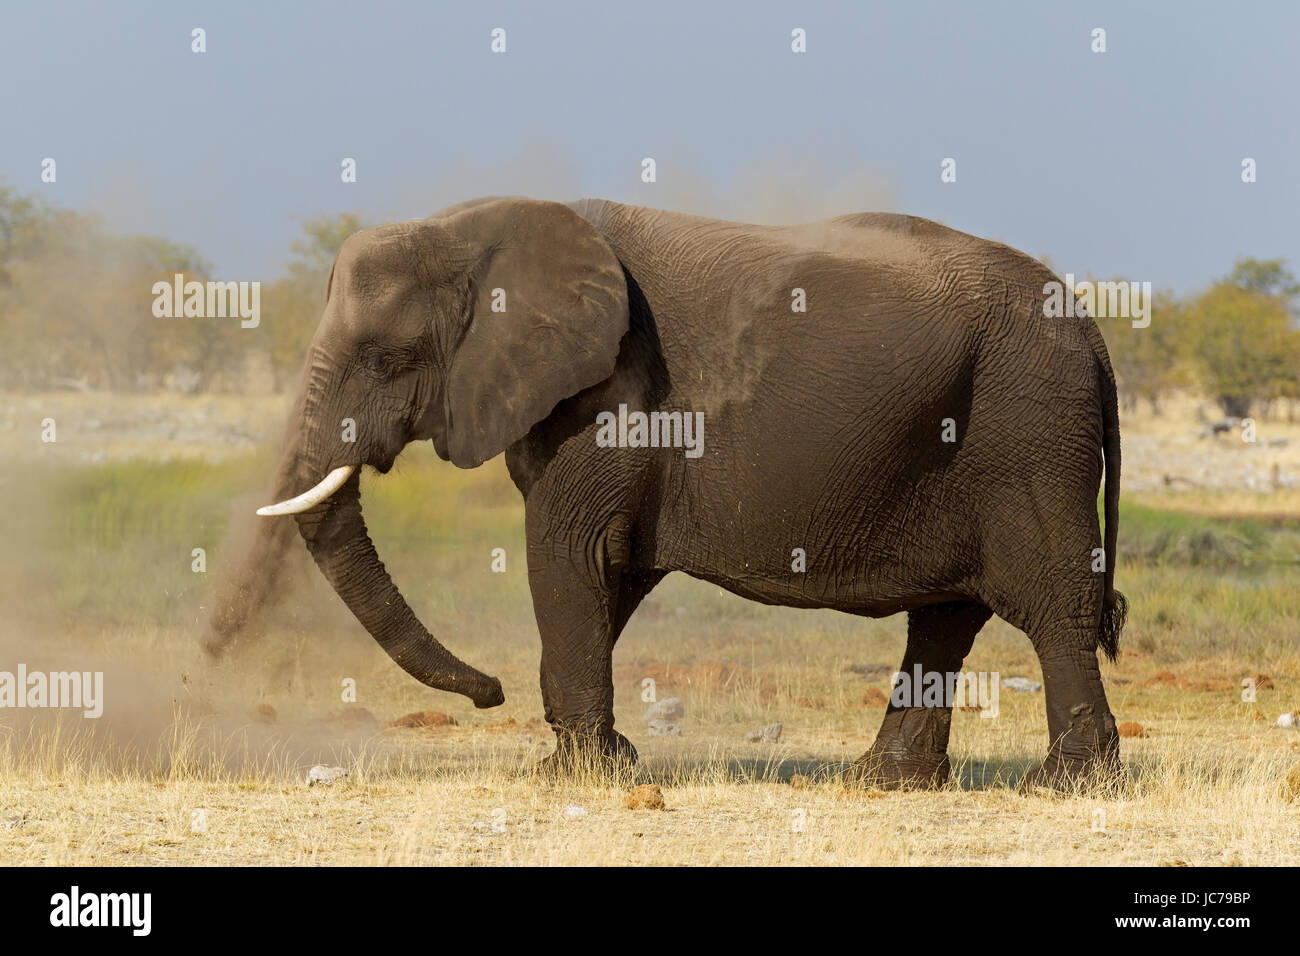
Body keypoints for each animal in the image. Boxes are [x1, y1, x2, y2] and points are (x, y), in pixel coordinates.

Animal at [206, 196, 1127, 792]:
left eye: (385, 358)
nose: (486, 692)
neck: (470, 228)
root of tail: (1092, 328)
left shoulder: (615, 394)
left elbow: (568, 551)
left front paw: (581, 773)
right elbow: (605, 572)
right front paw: (590, 759)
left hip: (1031, 432)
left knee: (1053, 606)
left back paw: (1066, 786)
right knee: (945, 620)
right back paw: (884, 782)